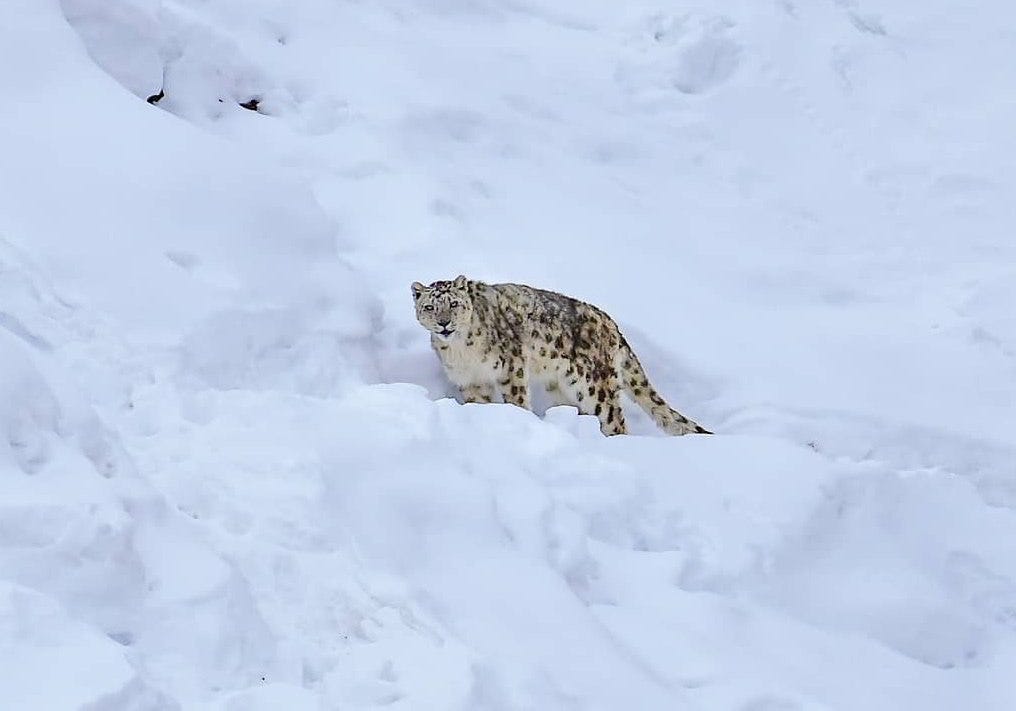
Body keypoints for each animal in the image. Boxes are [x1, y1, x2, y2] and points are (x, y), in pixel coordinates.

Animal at [412, 275, 711, 436]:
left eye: (453, 303)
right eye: (430, 307)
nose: (444, 324)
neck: (463, 352)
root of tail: (611, 325)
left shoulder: (511, 368)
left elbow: (517, 400)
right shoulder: (471, 381)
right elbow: (480, 403)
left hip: (596, 386)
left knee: (614, 419)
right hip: (561, 387)